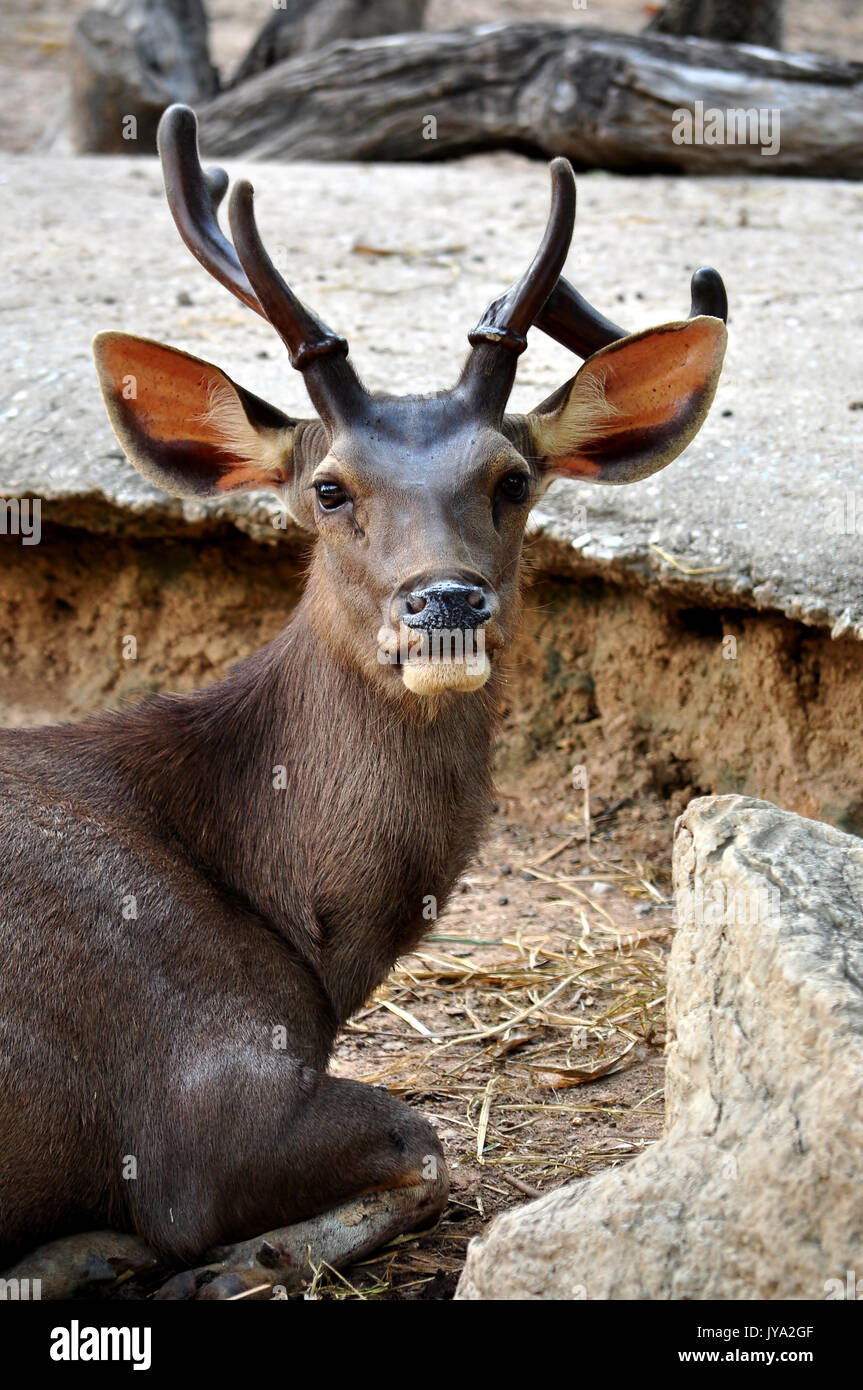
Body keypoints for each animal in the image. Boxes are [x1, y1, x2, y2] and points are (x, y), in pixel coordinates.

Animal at [0, 105, 727, 1300]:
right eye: (329, 486)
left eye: (511, 478)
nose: (446, 601)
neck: (298, 931)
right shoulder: (199, 1093)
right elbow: (423, 1146)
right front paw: (222, 1261)